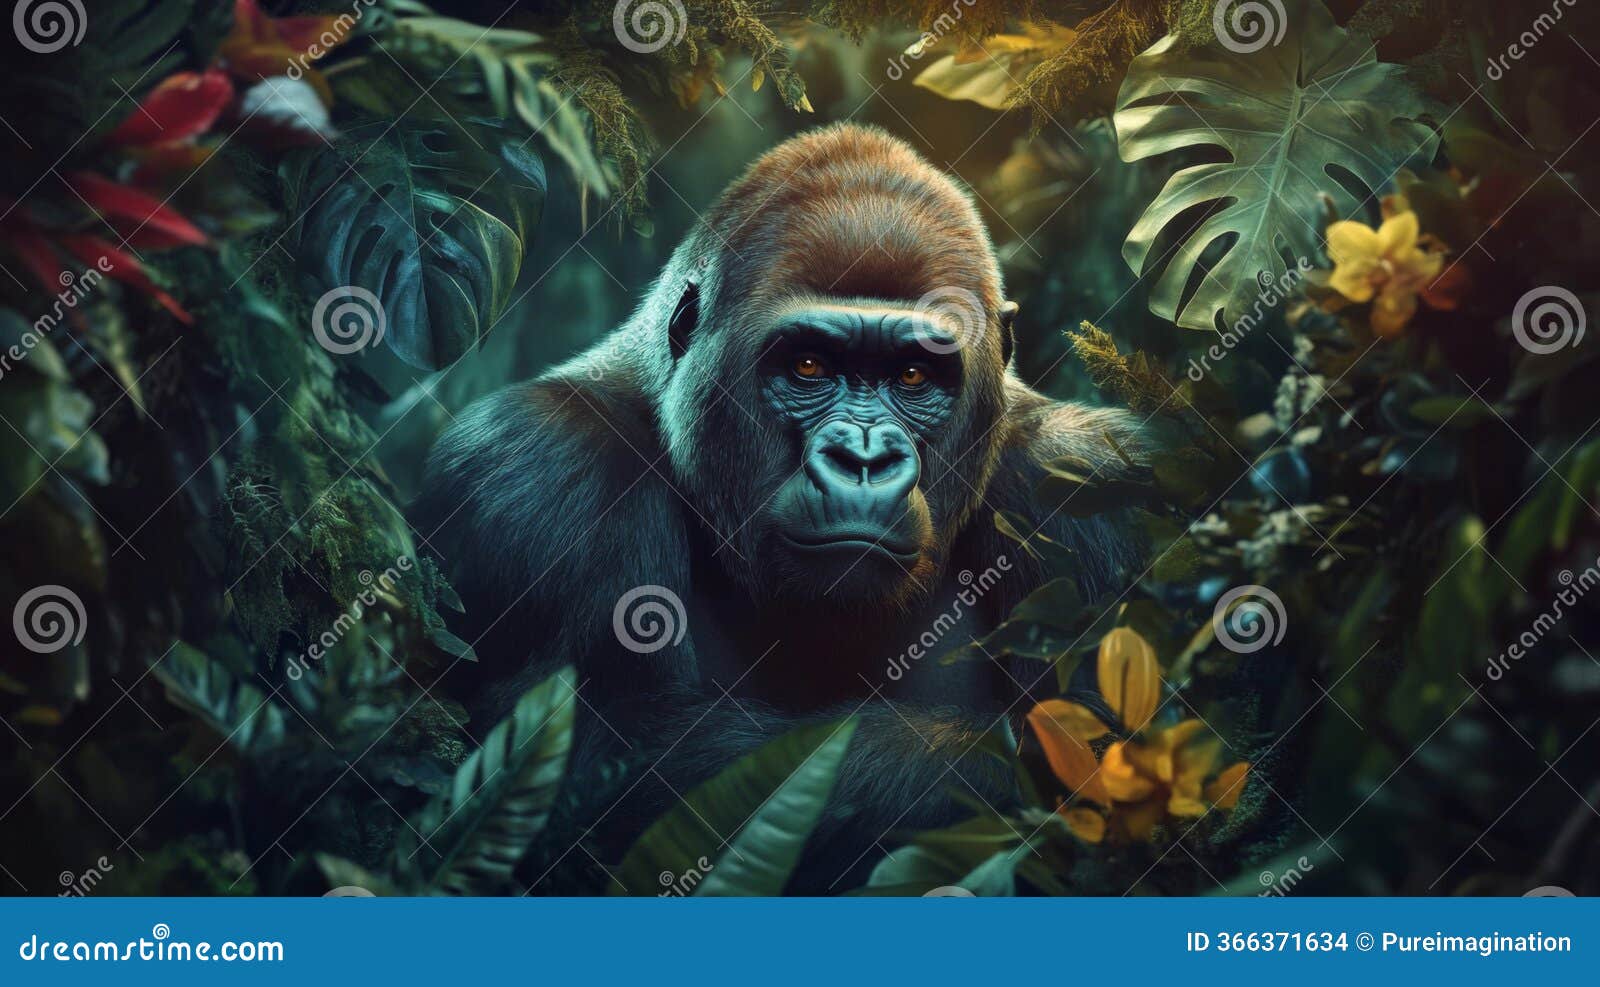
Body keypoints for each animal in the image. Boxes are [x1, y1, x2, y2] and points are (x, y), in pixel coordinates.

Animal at [415, 123, 1147, 893]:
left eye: (913, 375)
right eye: (808, 367)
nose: (862, 458)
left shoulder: (1090, 484)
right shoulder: (537, 473)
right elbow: (581, 768)